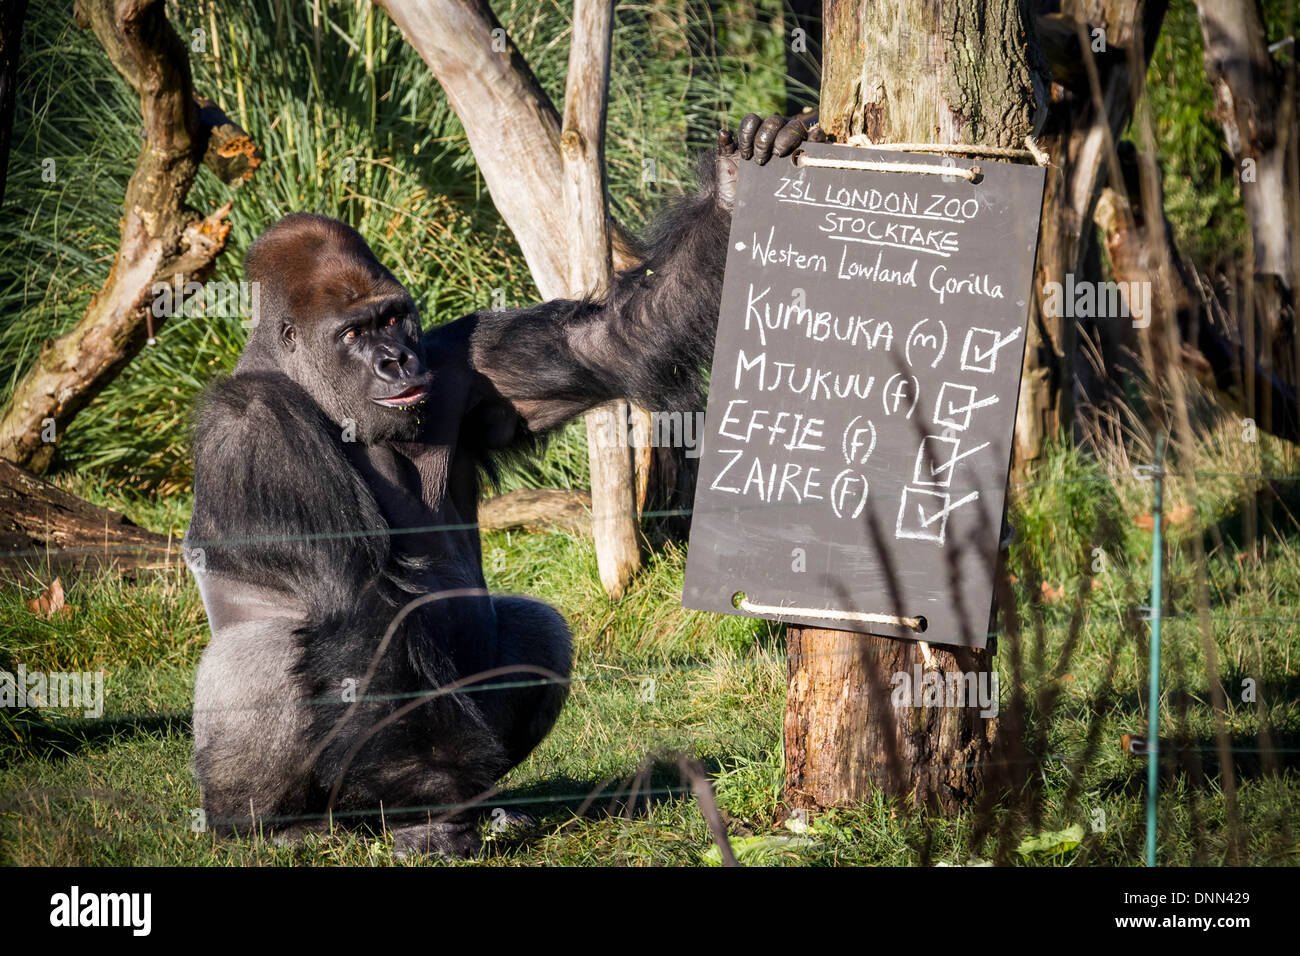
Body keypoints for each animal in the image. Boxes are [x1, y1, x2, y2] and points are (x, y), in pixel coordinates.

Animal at [183, 115, 807, 857]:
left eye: (392, 318)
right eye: (353, 333)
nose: (396, 362)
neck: (312, 388)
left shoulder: (460, 354)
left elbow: (609, 344)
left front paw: (735, 187)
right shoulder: (256, 428)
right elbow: (358, 608)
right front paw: (434, 801)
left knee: (539, 627)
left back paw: (489, 805)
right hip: (274, 793)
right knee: (271, 657)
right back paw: (281, 828)